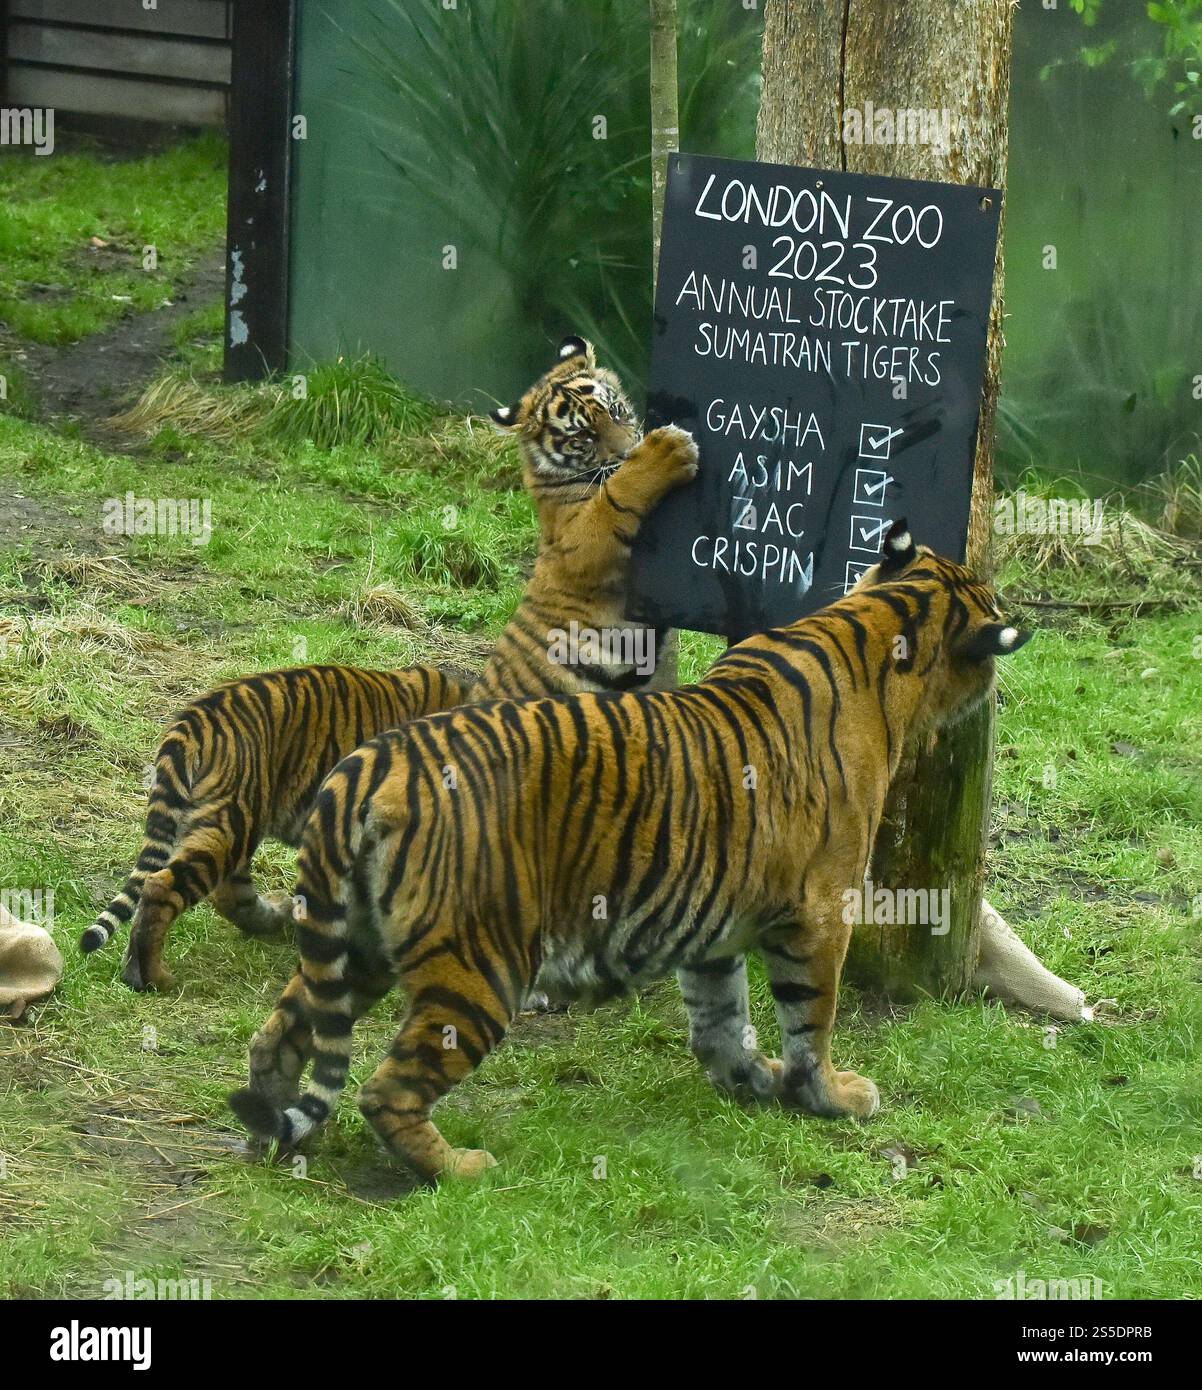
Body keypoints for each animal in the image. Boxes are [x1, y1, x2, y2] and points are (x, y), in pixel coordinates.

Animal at [81, 336, 697, 992]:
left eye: (619, 409)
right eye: (582, 434)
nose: (628, 444)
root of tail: (195, 716)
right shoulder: (586, 537)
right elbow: (618, 496)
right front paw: (665, 453)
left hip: (226, 820)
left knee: (218, 886)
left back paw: (267, 919)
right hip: (231, 816)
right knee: (165, 885)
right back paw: (150, 974)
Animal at [228, 519, 1033, 1182]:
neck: (878, 619)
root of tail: (367, 768)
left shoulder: (718, 918)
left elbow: (721, 1018)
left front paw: (752, 1081)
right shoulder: (822, 909)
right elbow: (812, 1018)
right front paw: (828, 1093)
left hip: (353, 943)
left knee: (285, 1032)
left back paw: (273, 1124)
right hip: (481, 965)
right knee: (385, 1088)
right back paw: (459, 1168)